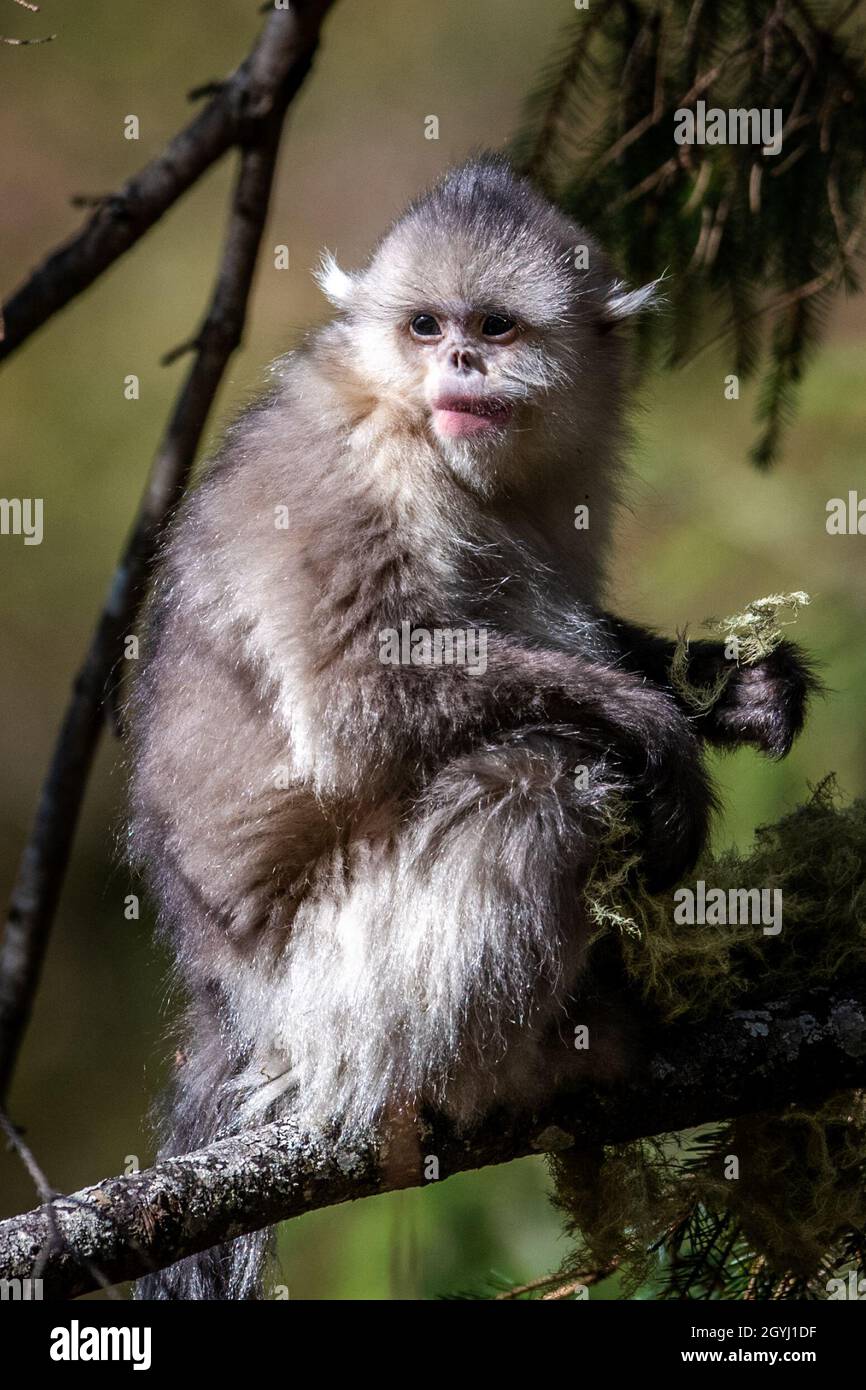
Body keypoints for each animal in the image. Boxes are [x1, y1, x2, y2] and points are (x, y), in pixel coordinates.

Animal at [127, 156, 814, 1299]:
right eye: (424, 326)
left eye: (494, 326)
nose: (456, 360)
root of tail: (230, 1001)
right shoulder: (361, 476)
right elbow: (361, 701)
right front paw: (659, 730)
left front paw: (732, 688)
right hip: (344, 990)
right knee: (547, 776)